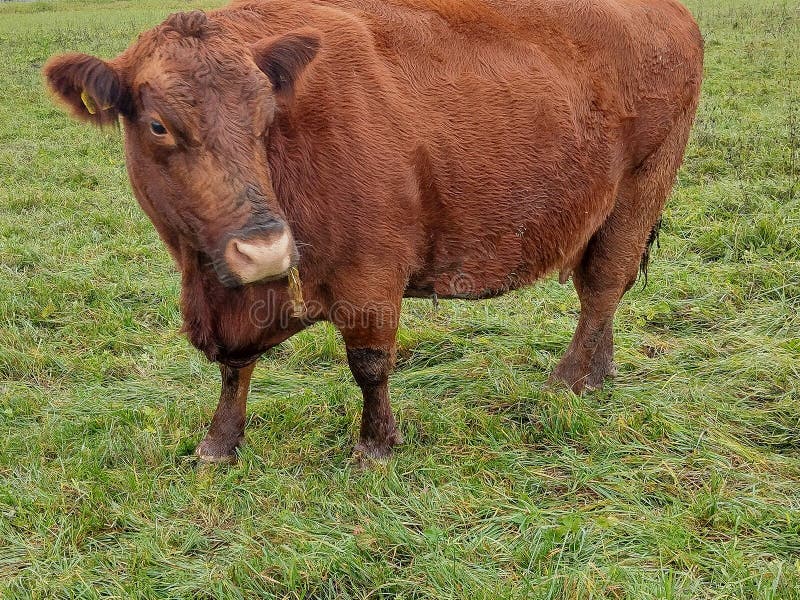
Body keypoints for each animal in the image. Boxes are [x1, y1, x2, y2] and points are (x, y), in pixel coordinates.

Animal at [44, 0, 703, 463]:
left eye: (266, 115)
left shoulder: (372, 271)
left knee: (602, 287)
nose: (266, 249)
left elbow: (369, 362)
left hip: (641, 189)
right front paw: (219, 443)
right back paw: (600, 370)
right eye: (158, 125)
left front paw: (376, 445)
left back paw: (569, 381)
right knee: (605, 294)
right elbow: (235, 366)